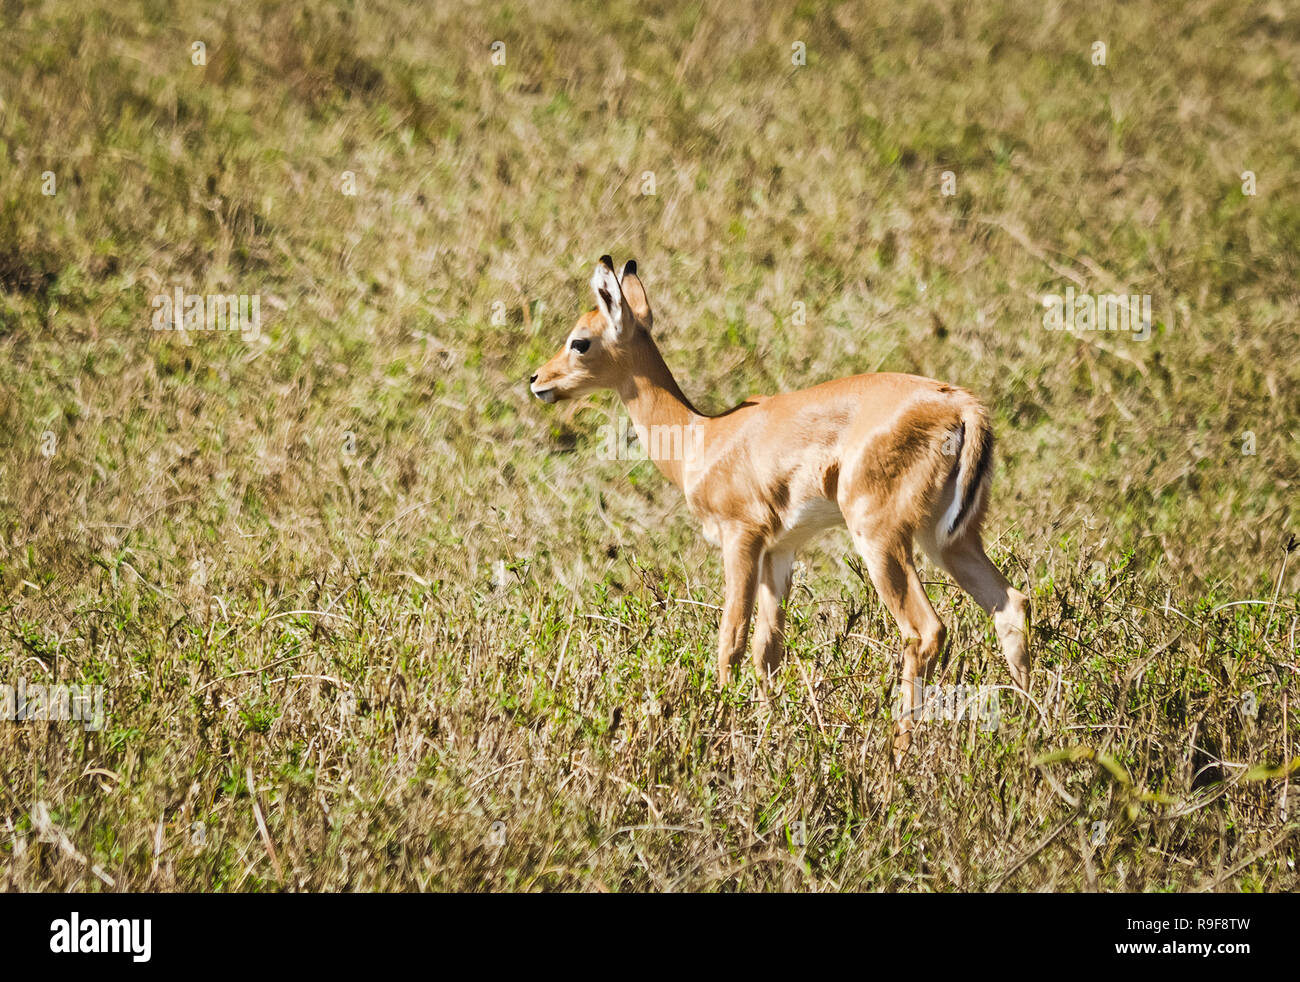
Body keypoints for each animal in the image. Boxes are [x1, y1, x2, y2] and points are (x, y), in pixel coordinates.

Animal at [530, 256, 1031, 758]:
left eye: (580, 340)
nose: (537, 380)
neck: (701, 439)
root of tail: (962, 405)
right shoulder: (780, 550)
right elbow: (767, 649)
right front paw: (767, 736)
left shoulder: (741, 539)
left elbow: (730, 639)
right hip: (948, 540)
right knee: (1011, 605)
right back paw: (1029, 731)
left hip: (881, 538)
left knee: (926, 630)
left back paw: (898, 755)